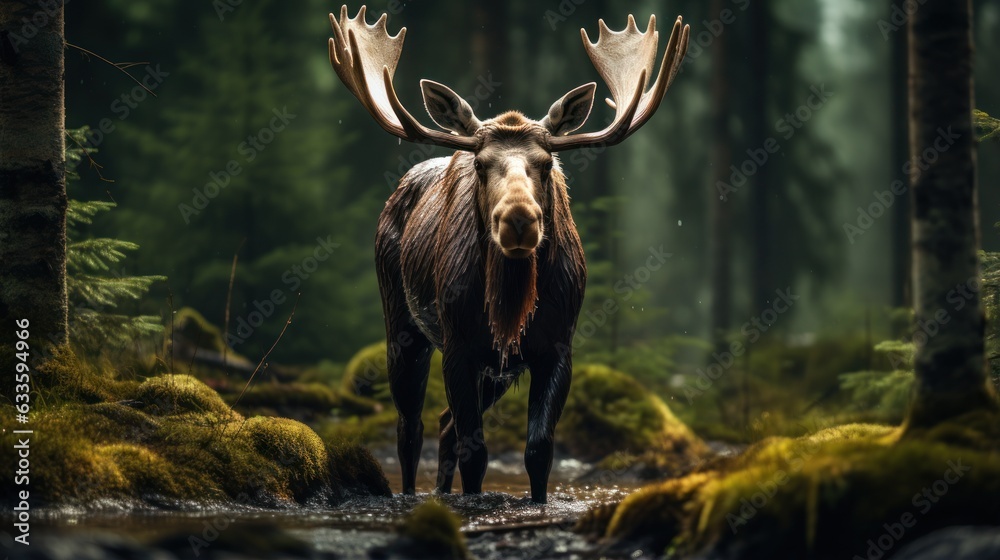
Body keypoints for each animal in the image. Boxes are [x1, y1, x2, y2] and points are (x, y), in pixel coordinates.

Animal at [328, 5, 689, 503]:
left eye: (547, 163)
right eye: (480, 165)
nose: (519, 219)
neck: (511, 301)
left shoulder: (556, 348)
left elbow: (538, 450)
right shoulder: (459, 346)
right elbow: (475, 452)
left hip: (493, 370)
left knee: (444, 426)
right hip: (402, 324)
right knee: (410, 428)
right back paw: (412, 493)